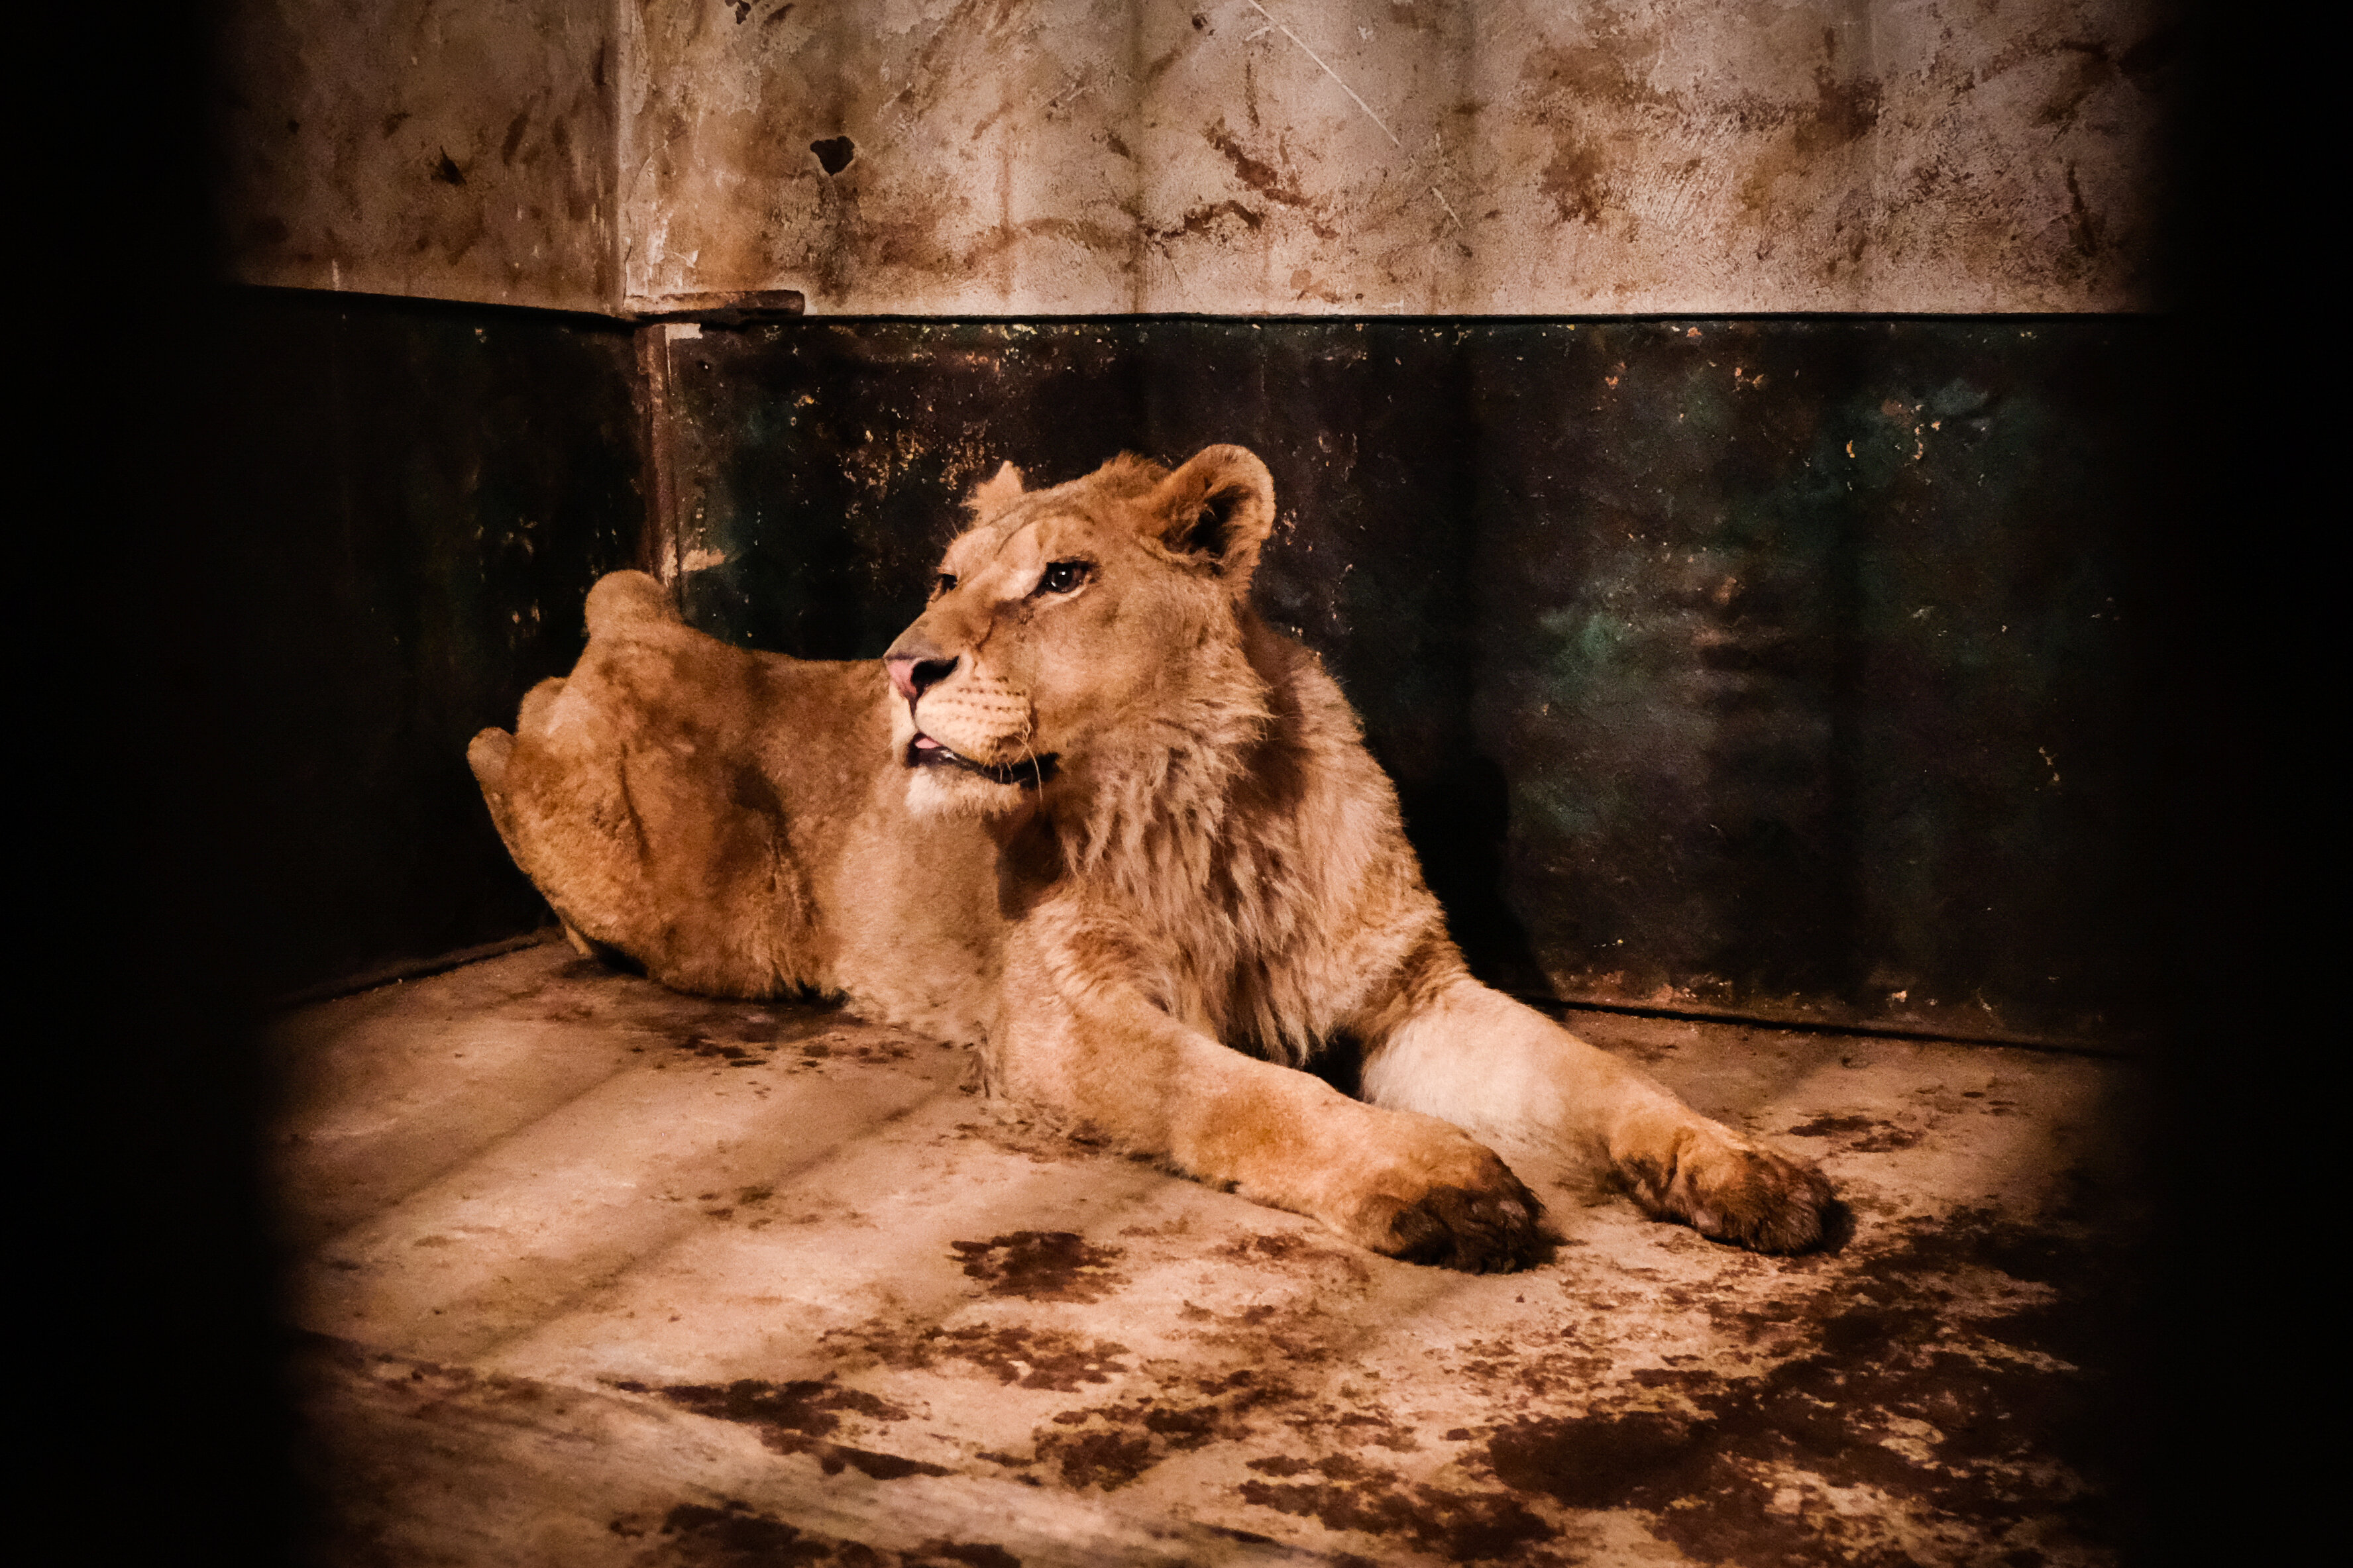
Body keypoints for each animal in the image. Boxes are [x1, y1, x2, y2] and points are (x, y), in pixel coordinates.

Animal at [468, 445, 1832, 1270]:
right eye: (946, 578)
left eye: (1061, 578)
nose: (902, 668)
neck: (1195, 801)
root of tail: (645, 622)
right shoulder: (1067, 1022)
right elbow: (1254, 1093)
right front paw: (1431, 1176)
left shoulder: (1413, 996)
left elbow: (1600, 1077)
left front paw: (1738, 1165)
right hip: (709, 920)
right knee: (499, 733)